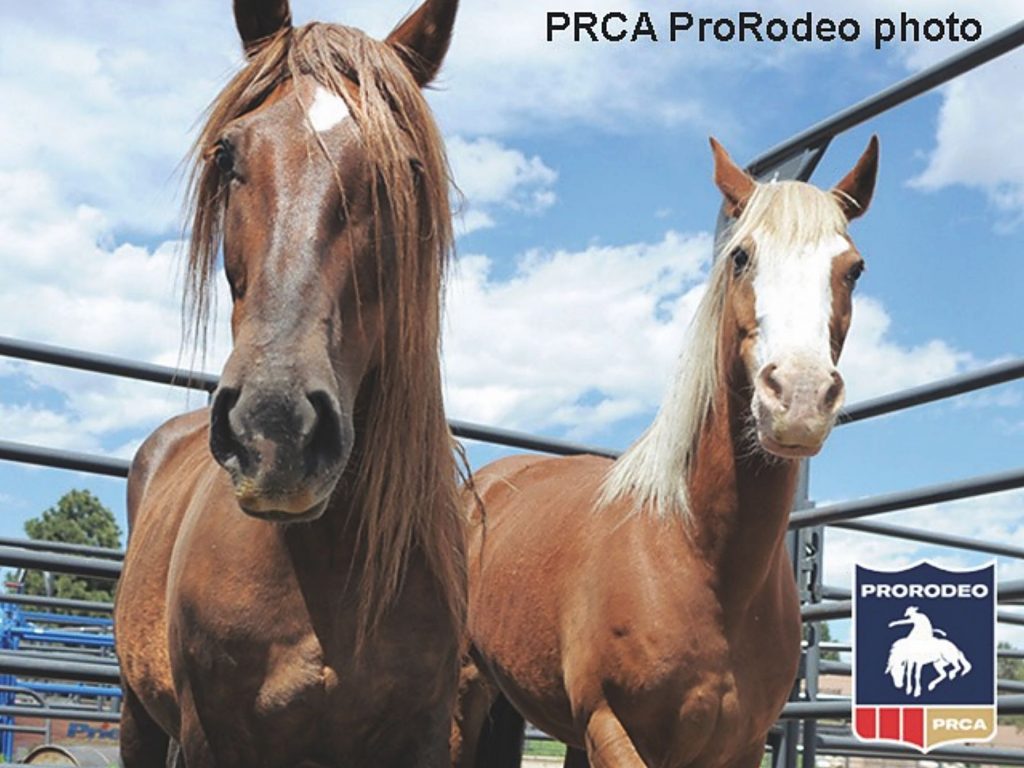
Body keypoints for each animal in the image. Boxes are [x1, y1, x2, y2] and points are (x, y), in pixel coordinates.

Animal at [114, 1, 464, 765]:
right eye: (227, 154)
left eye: (407, 171)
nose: (275, 428)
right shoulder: (210, 735)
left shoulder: (427, 733)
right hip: (135, 712)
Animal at [452, 136, 880, 768]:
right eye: (741, 257)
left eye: (853, 268)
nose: (800, 397)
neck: (699, 555)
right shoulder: (614, 729)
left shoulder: (741, 745)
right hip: (464, 691)